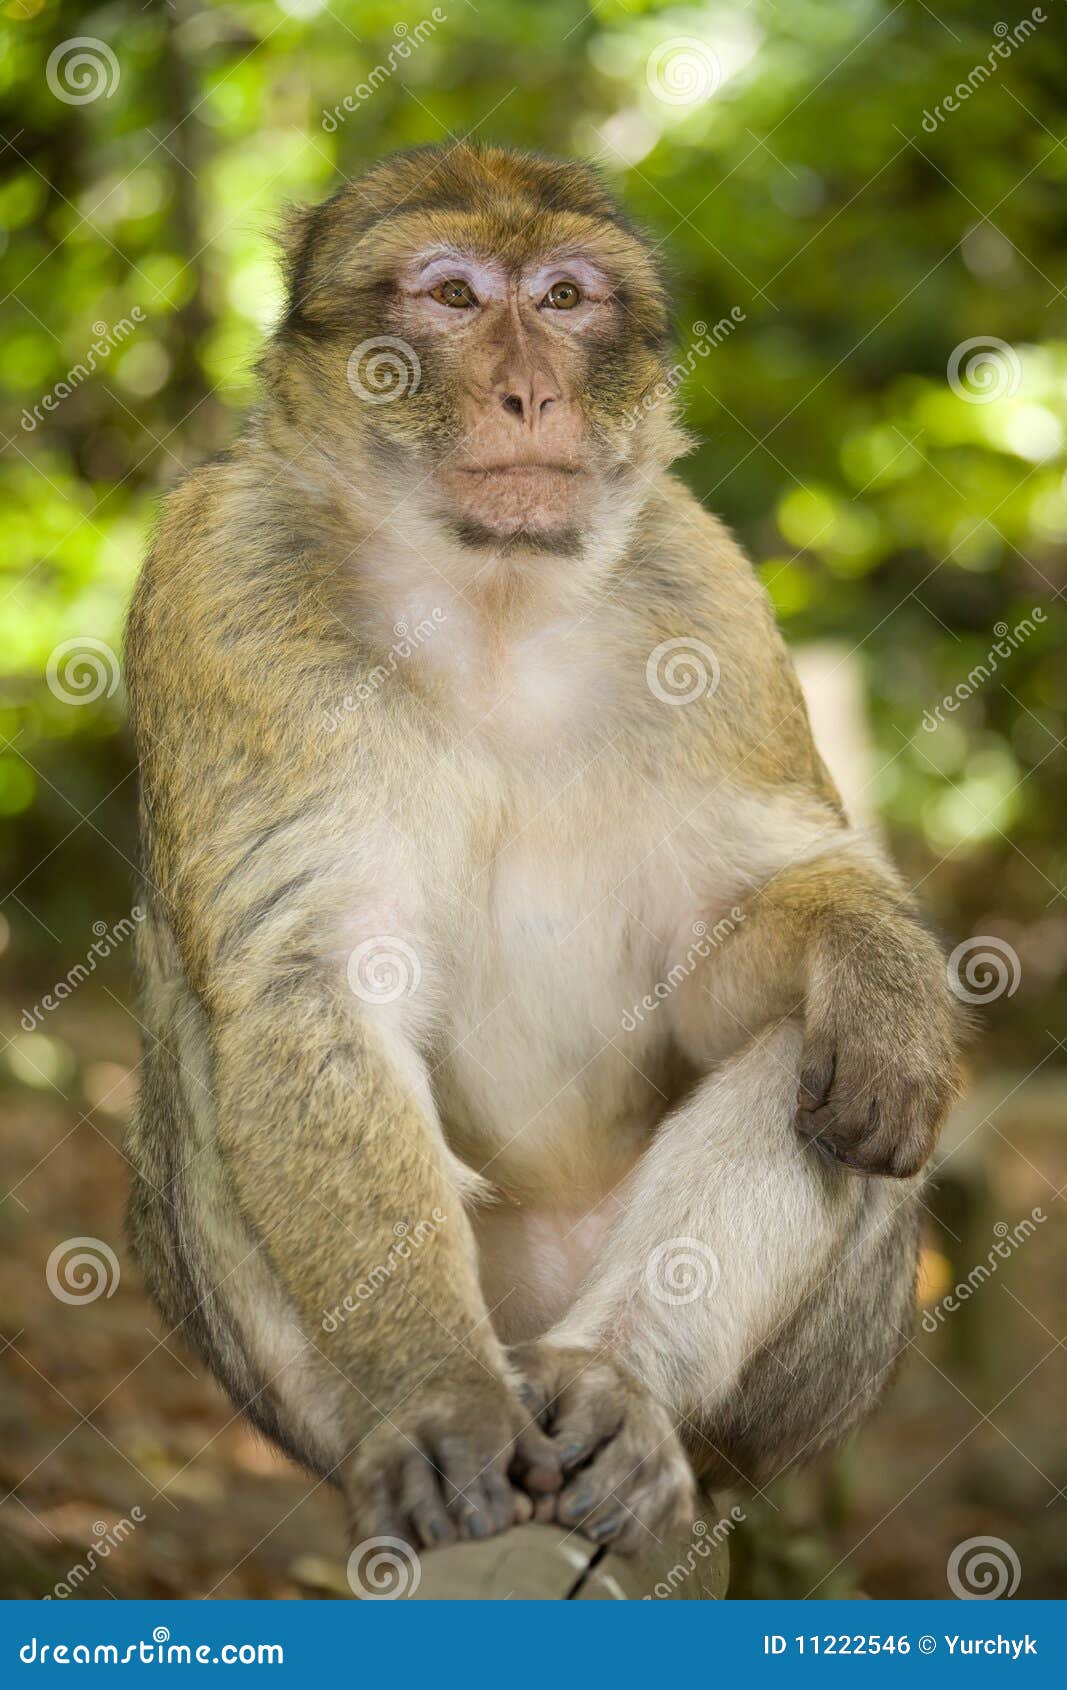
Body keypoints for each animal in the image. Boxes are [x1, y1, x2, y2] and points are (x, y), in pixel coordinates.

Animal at [124, 143, 962, 1563]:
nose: (530, 389)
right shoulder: (217, 577)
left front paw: (874, 969)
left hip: (791, 1384)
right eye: (453, 296)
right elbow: (310, 983)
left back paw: (615, 1390)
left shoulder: (706, 591)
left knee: (820, 1058)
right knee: (209, 1022)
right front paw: (435, 1394)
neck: (489, 603)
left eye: (565, 297)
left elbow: (738, 961)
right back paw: (428, 1424)